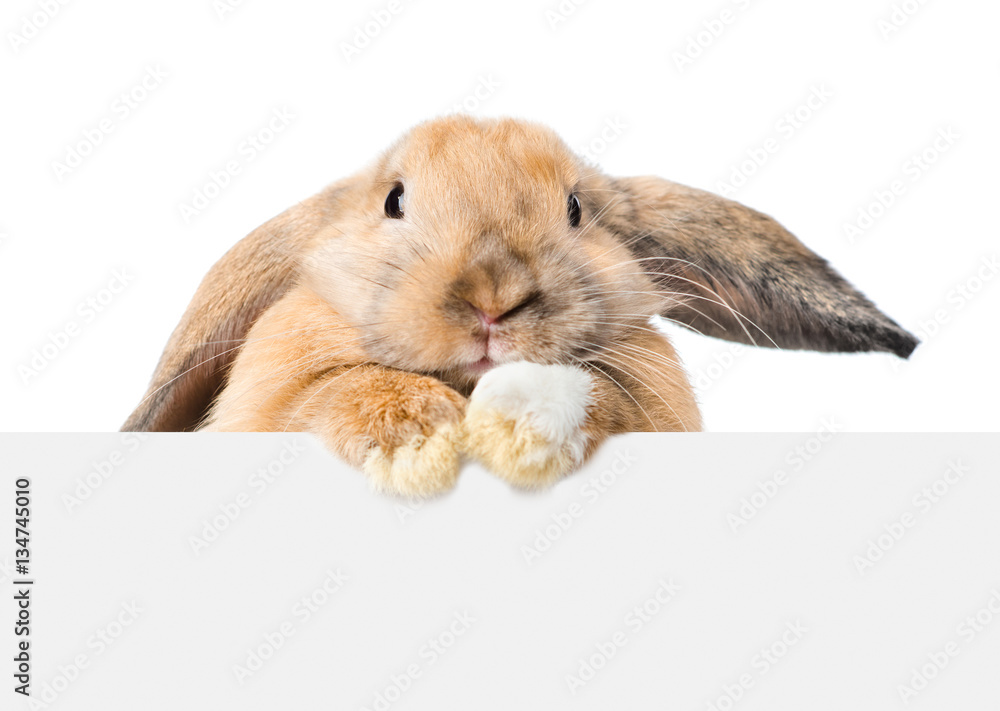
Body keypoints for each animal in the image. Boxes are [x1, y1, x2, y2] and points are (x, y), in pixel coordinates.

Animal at [123, 115, 917, 497]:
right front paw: (422, 442)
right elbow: (336, 387)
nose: (491, 299)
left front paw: (518, 427)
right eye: (394, 200)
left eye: (575, 209)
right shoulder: (279, 392)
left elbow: (602, 396)